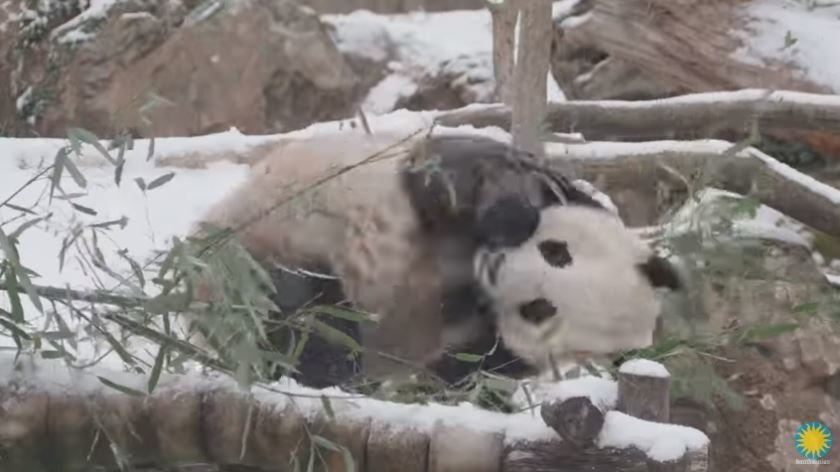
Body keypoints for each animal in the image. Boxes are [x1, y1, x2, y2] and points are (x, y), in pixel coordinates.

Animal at [185, 130, 682, 388]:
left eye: (539, 309)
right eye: (557, 253)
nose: (500, 266)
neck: (473, 277)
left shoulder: (484, 346)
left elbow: (455, 371)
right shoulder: (516, 180)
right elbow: (448, 171)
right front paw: (510, 216)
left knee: (302, 324)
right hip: (270, 231)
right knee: (286, 300)